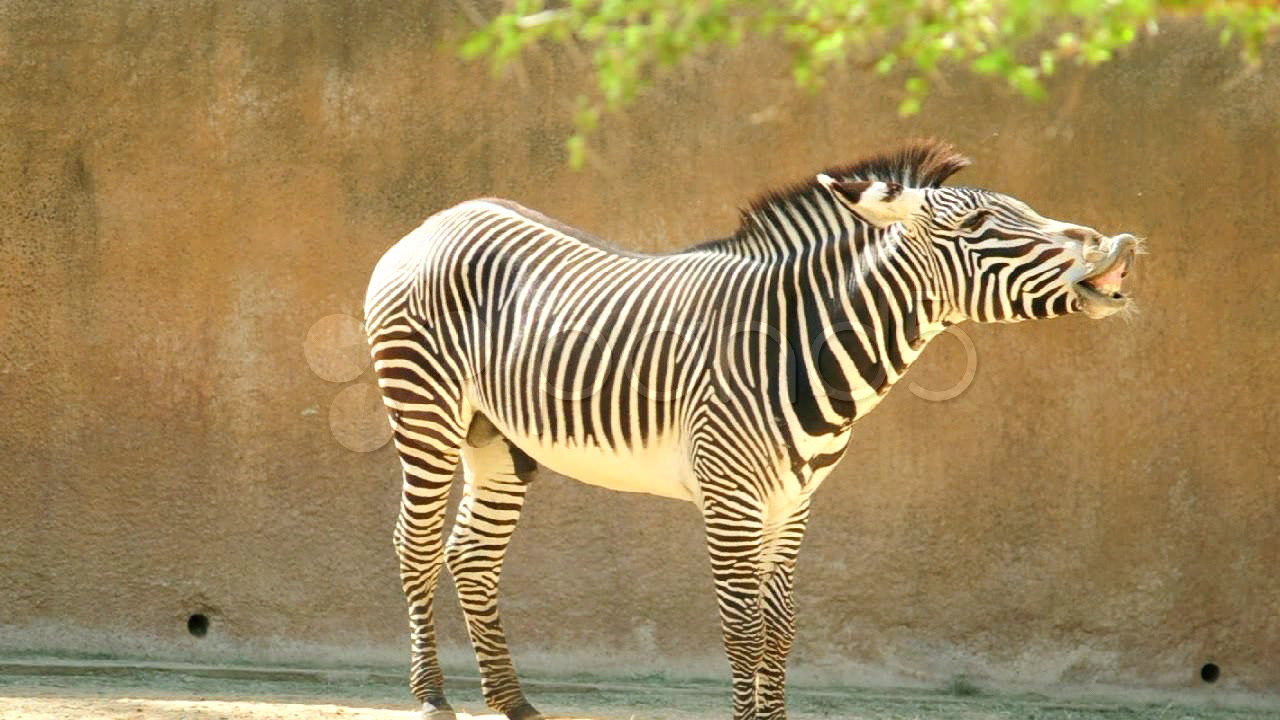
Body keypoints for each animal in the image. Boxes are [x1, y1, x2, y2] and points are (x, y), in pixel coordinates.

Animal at [363, 140, 1137, 720]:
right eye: (975, 227)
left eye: (1026, 210)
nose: (1119, 244)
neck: (801, 347)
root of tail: (443, 218)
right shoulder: (730, 494)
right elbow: (741, 626)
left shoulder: (793, 501)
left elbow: (779, 626)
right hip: (426, 411)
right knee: (417, 545)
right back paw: (432, 698)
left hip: (496, 438)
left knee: (472, 554)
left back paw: (513, 701)